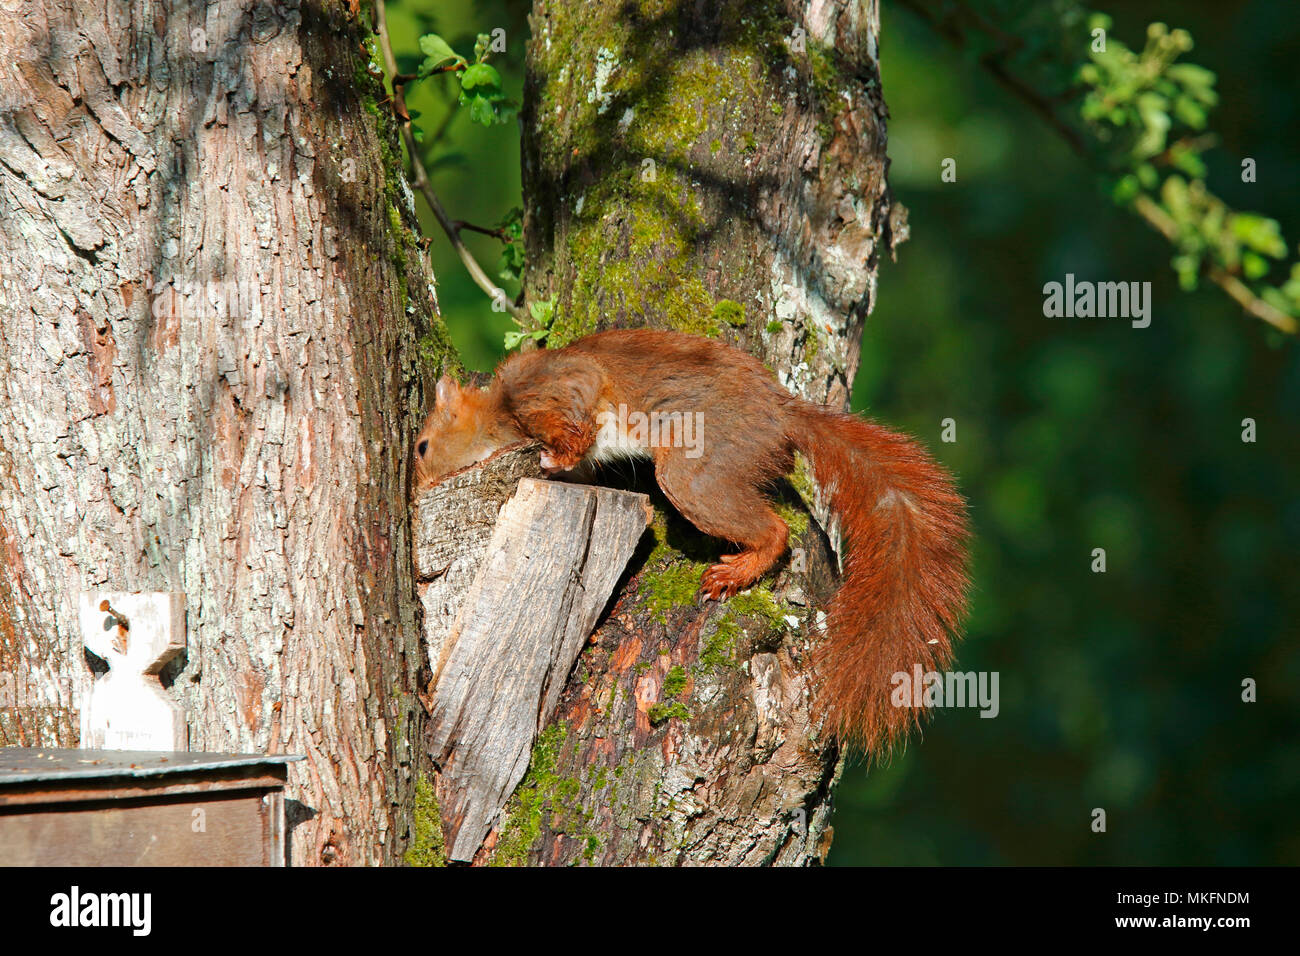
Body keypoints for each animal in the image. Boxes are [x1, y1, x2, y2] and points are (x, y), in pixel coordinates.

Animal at [414, 329, 969, 753]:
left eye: (420, 446)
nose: (417, 491)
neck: (498, 411)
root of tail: (780, 414)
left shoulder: (553, 387)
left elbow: (576, 424)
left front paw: (553, 458)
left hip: (694, 470)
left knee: (774, 531)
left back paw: (734, 572)